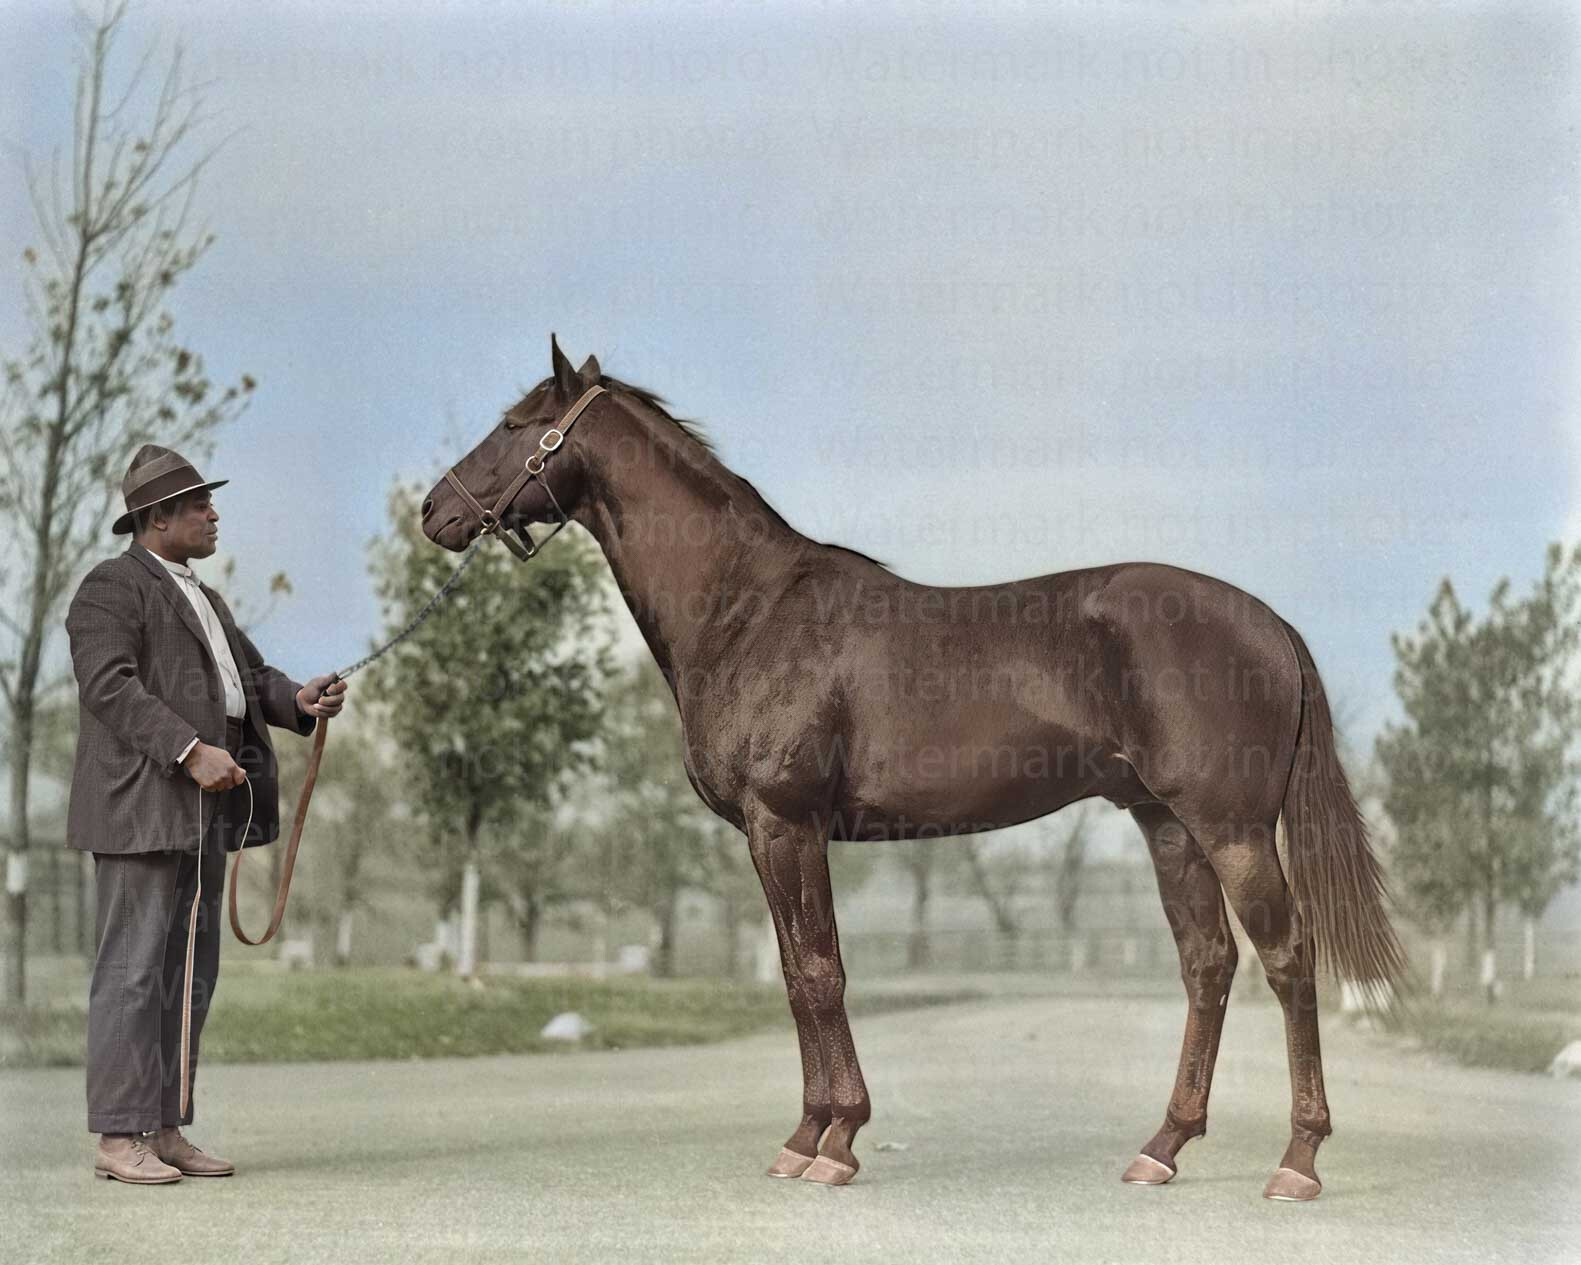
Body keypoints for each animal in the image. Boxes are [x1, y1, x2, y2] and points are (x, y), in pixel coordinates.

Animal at [422, 335, 1405, 1201]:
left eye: (515, 425)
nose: (436, 511)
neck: (748, 609)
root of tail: (1268, 622)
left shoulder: (786, 822)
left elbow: (820, 972)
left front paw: (837, 1143)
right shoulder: (768, 834)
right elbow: (796, 974)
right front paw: (802, 1138)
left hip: (1232, 830)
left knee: (1287, 958)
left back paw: (1296, 1160)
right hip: (1166, 825)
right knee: (1207, 963)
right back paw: (1160, 1147)